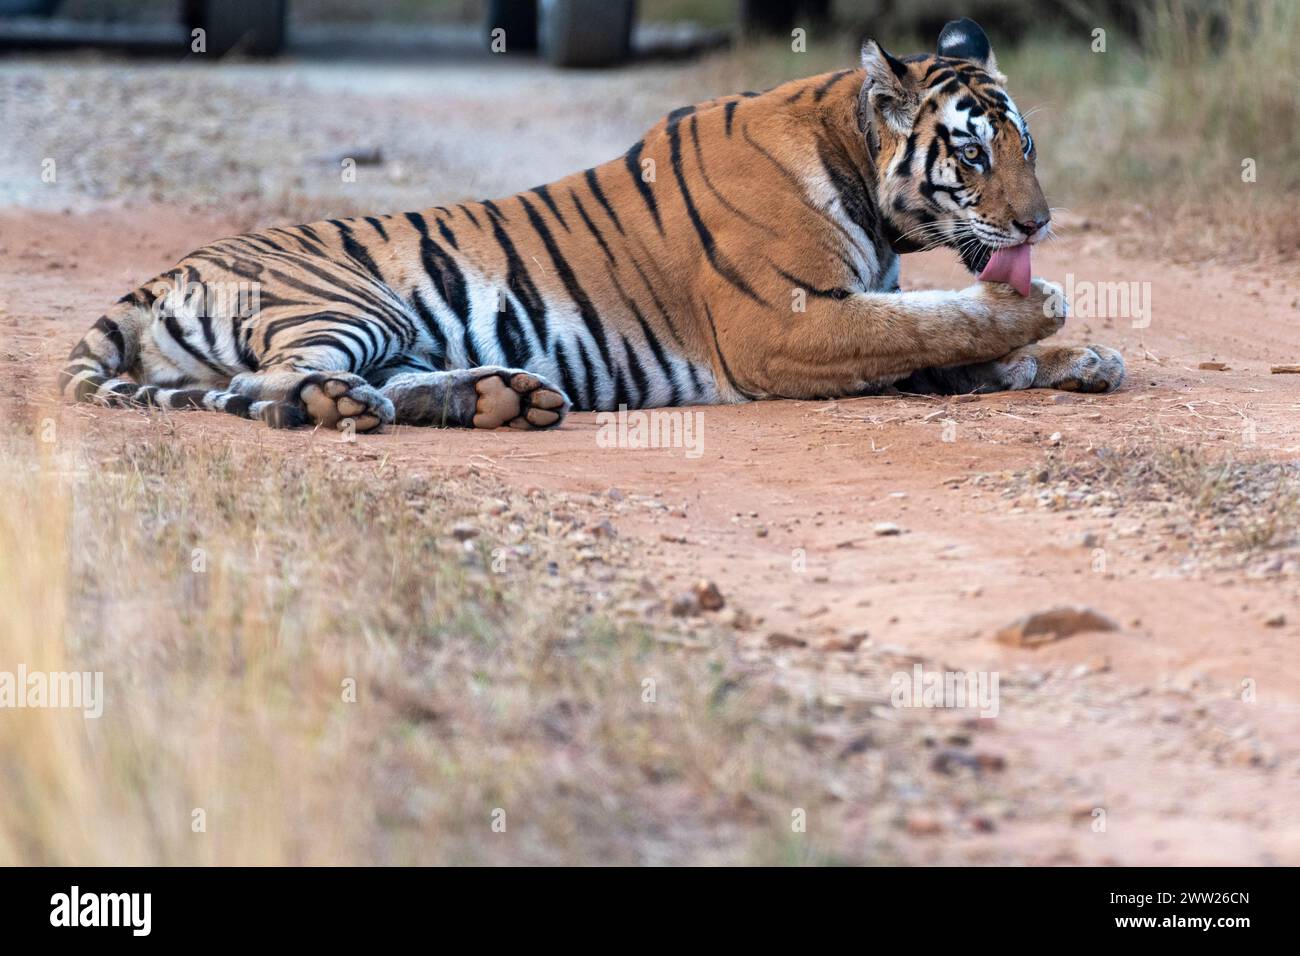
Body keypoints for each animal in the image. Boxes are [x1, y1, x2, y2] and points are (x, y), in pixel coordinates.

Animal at [59, 17, 1123, 434]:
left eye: (1028, 146)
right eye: (974, 157)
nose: (1041, 222)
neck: (857, 172)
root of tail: (158, 276)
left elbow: (943, 343)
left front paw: (1082, 360)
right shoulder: (785, 327)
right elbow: (935, 321)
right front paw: (1042, 313)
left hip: (397, 332)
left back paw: (503, 398)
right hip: (348, 304)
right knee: (276, 385)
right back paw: (349, 406)